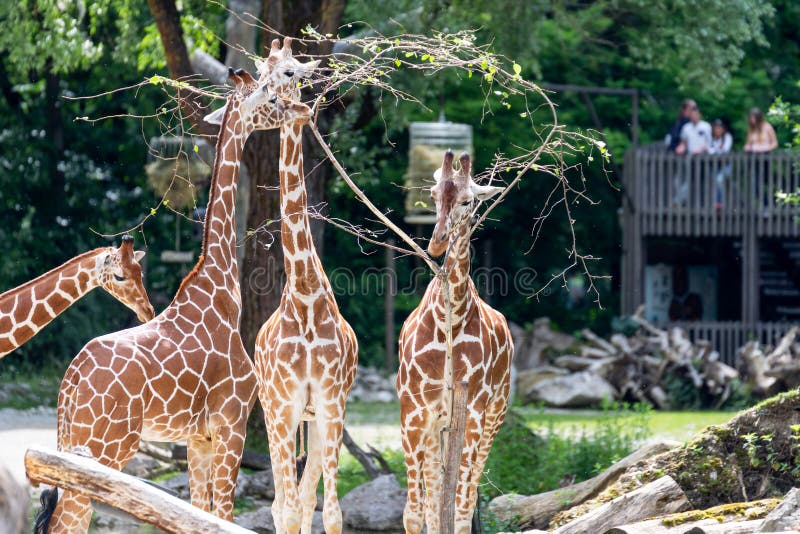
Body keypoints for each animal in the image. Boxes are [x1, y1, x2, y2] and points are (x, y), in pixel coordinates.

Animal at [34, 70, 312, 533]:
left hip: (76, 441)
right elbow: (223, 514)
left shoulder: (197, 437)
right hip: (109, 444)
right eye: (271, 97)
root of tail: (70, 384)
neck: (223, 290)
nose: (305, 109)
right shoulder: (232, 423)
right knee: (67, 519)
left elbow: (198, 514)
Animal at [397, 151, 513, 534]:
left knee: (466, 497)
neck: (449, 317)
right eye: (433, 195)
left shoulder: (473, 413)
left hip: (494, 415)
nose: (437, 242)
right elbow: (416, 512)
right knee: (435, 501)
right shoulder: (414, 411)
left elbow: (461, 509)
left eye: (467, 200)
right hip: (438, 425)